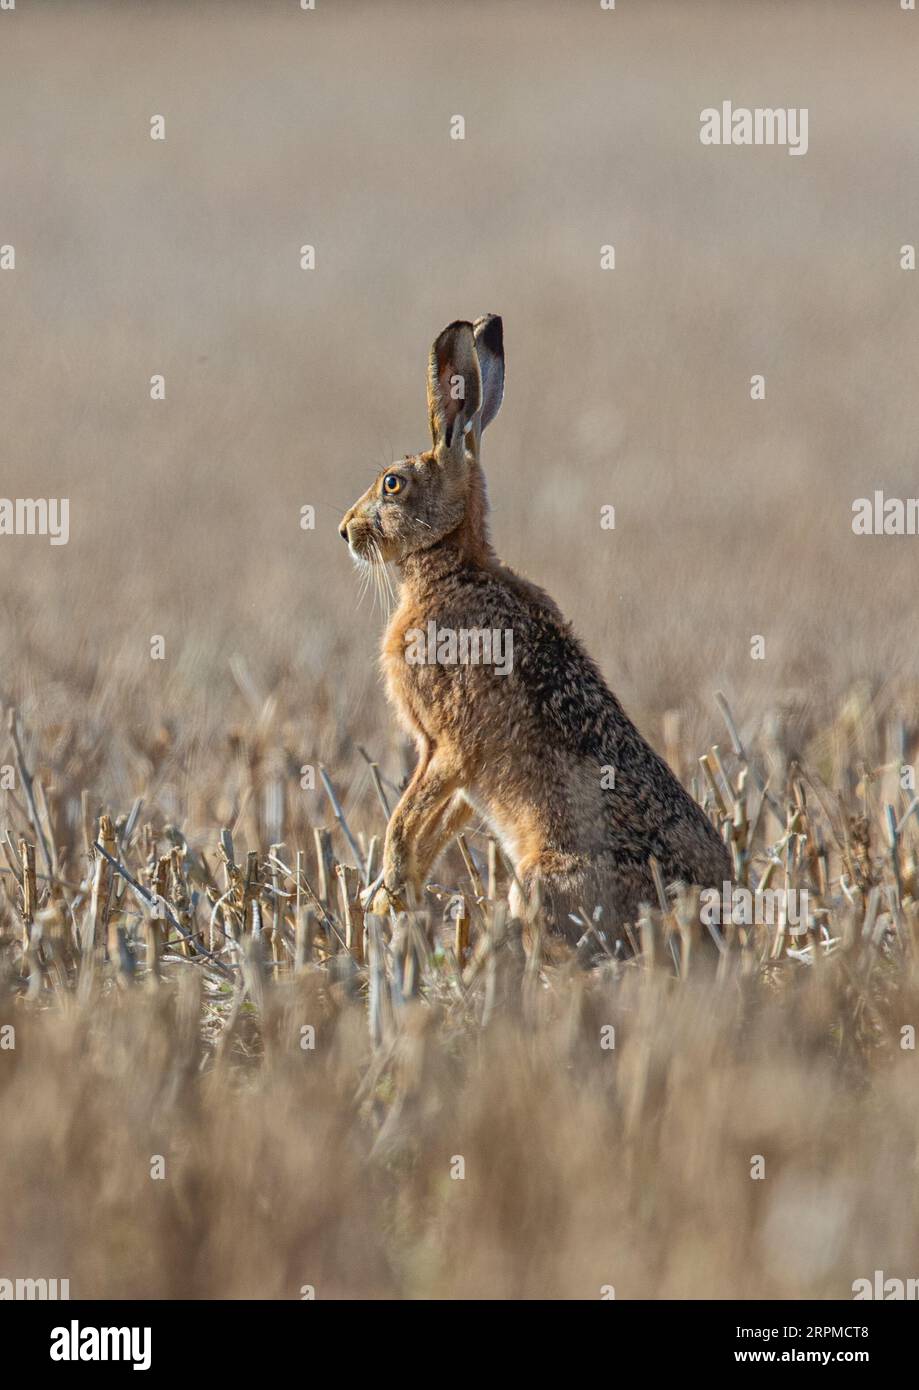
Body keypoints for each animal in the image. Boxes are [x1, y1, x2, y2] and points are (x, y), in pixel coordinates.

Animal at [339, 315, 731, 939]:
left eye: (392, 484)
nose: (345, 530)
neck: (453, 566)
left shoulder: (449, 745)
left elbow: (405, 819)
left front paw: (386, 890)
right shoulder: (451, 767)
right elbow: (434, 827)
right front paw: (392, 899)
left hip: (540, 881)